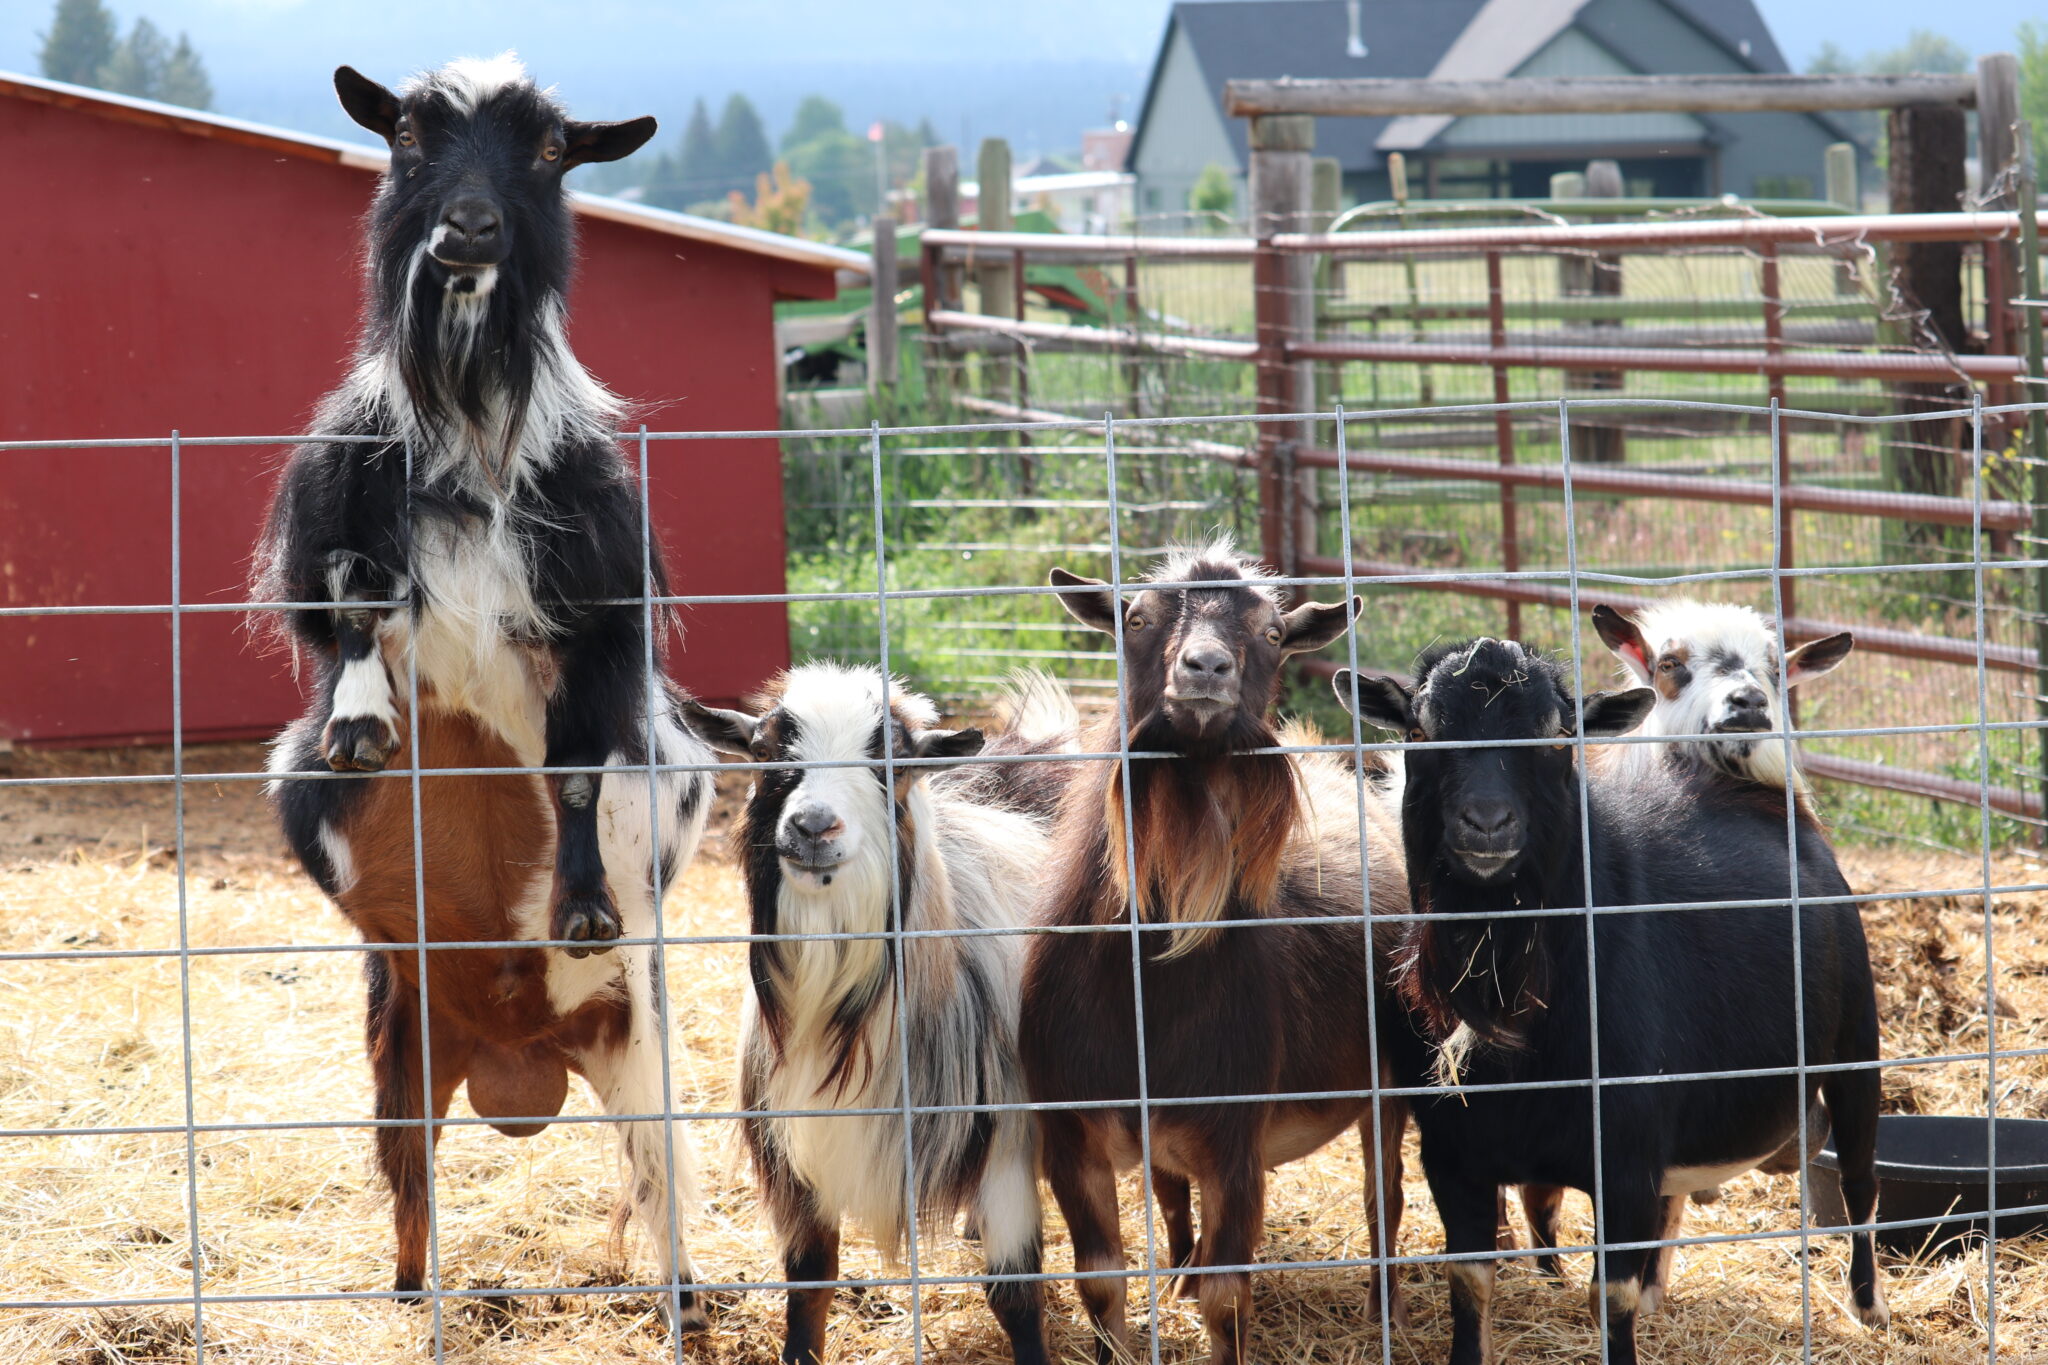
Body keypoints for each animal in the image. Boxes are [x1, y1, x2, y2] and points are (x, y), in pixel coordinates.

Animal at [254, 58, 715, 1321]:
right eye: (408, 133)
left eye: (552, 151)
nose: (467, 227)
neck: (465, 415)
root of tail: (515, 1057)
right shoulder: (335, 512)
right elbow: (352, 603)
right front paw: (361, 721)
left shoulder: (602, 607)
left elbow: (575, 769)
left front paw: (582, 903)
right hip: (399, 1043)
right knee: (412, 1197)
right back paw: (412, 1294)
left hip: (636, 1040)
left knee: (660, 1178)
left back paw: (687, 1295)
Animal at [685, 667, 1078, 1365]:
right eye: (764, 751)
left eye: (891, 759)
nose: (813, 826)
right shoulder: (798, 1139)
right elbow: (809, 1277)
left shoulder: (1006, 1132)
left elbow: (1012, 1291)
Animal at [1019, 543, 1414, 1365]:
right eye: (1136, 618)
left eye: (1272, 634)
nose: (1205, 668)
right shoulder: (1070, 1133)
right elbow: (1099, 1278)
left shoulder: (1233, 1135)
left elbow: (1231, 1294)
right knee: (1173, 1198)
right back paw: (1180, 1271)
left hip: (1390, 1072)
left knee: (1383, 1191)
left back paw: (1381, 1304)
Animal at [1336, 639, 1885, 1365]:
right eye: (1422, 732)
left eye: (1556, 735)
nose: (1487, 824)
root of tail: (1773, 802)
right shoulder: (1453, 1154)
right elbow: (1471, 1282)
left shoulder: (1623, 1155)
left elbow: (1610, 1296)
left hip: (1857, 1043)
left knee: (1859, 1178)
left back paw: (1869, 1306)